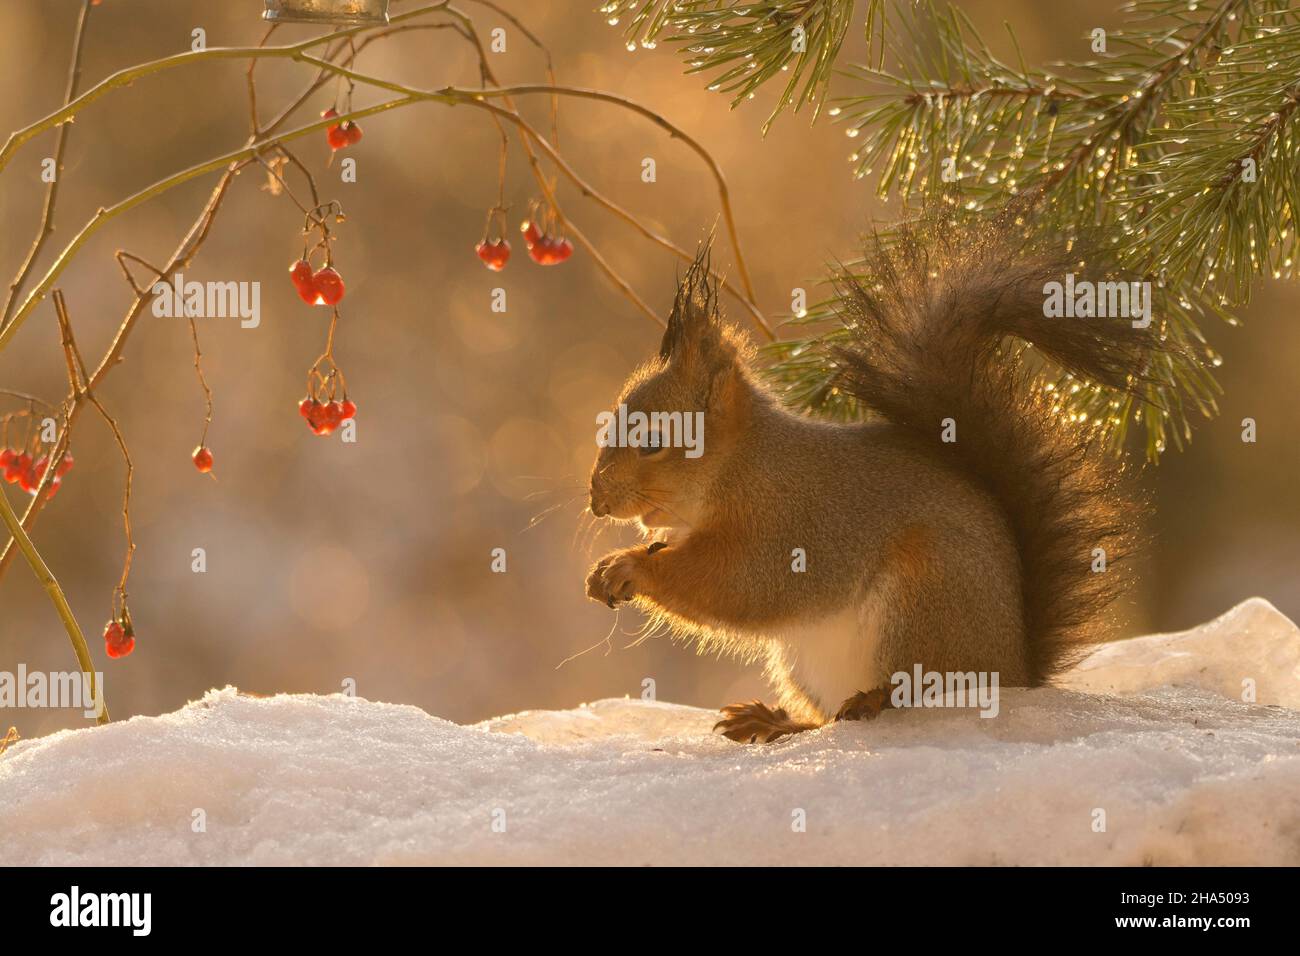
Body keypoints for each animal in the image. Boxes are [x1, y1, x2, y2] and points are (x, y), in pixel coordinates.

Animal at [585, 220, 1166, 743]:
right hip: (806, 662)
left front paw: (631, 569)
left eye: (654, 440)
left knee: (926, 685)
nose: (596, 499)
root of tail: (1017, 672)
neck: (740, 468)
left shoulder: (790, 528)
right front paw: (607, 567)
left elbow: (738, 582)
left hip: (923, 599)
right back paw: (774, 722)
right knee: (823, 719)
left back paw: (876, 698)